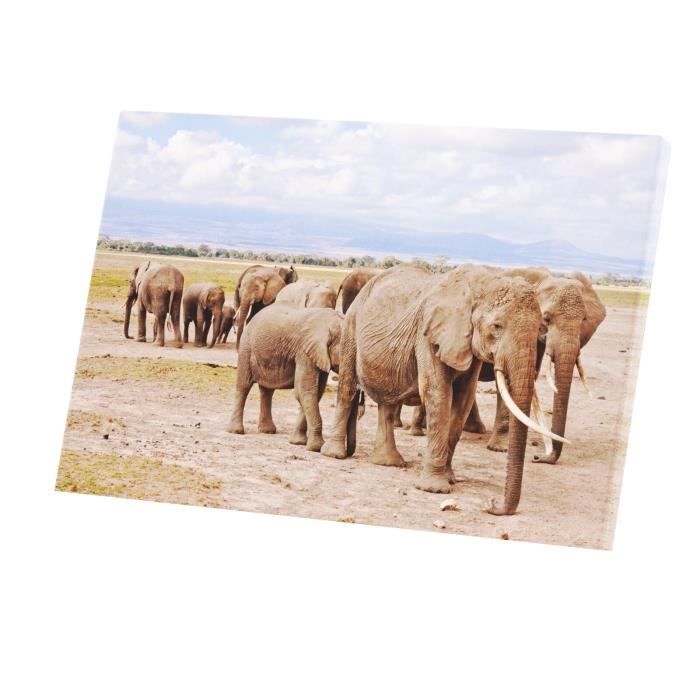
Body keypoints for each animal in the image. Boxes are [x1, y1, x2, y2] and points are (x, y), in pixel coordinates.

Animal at [227, 304, 343, 452]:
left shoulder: (318, 355)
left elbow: (315, 392)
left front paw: (297, 443)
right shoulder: (304, 352)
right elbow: (304, 390)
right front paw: (316, 448)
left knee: (267, 390)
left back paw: (267, 431)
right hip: (246, 348)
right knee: (243, 386)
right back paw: (236, 431)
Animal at [320, 263, 567, 515]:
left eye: (540, 328)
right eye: (496, 326)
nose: (491, 504)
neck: (481, 283)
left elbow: (463, 399)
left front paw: (450, 479)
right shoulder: (429, 336)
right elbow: (439, 395)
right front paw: (435, 488)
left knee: (387, 404)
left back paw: (388, 462)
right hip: (351, 328)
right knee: (348, 387)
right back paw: (335, 454)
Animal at [464, 267, 606, 464]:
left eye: (584, 319)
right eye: (545, 319)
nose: (539, 457)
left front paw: (502, 446)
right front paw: (500, 448)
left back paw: (475, 429)